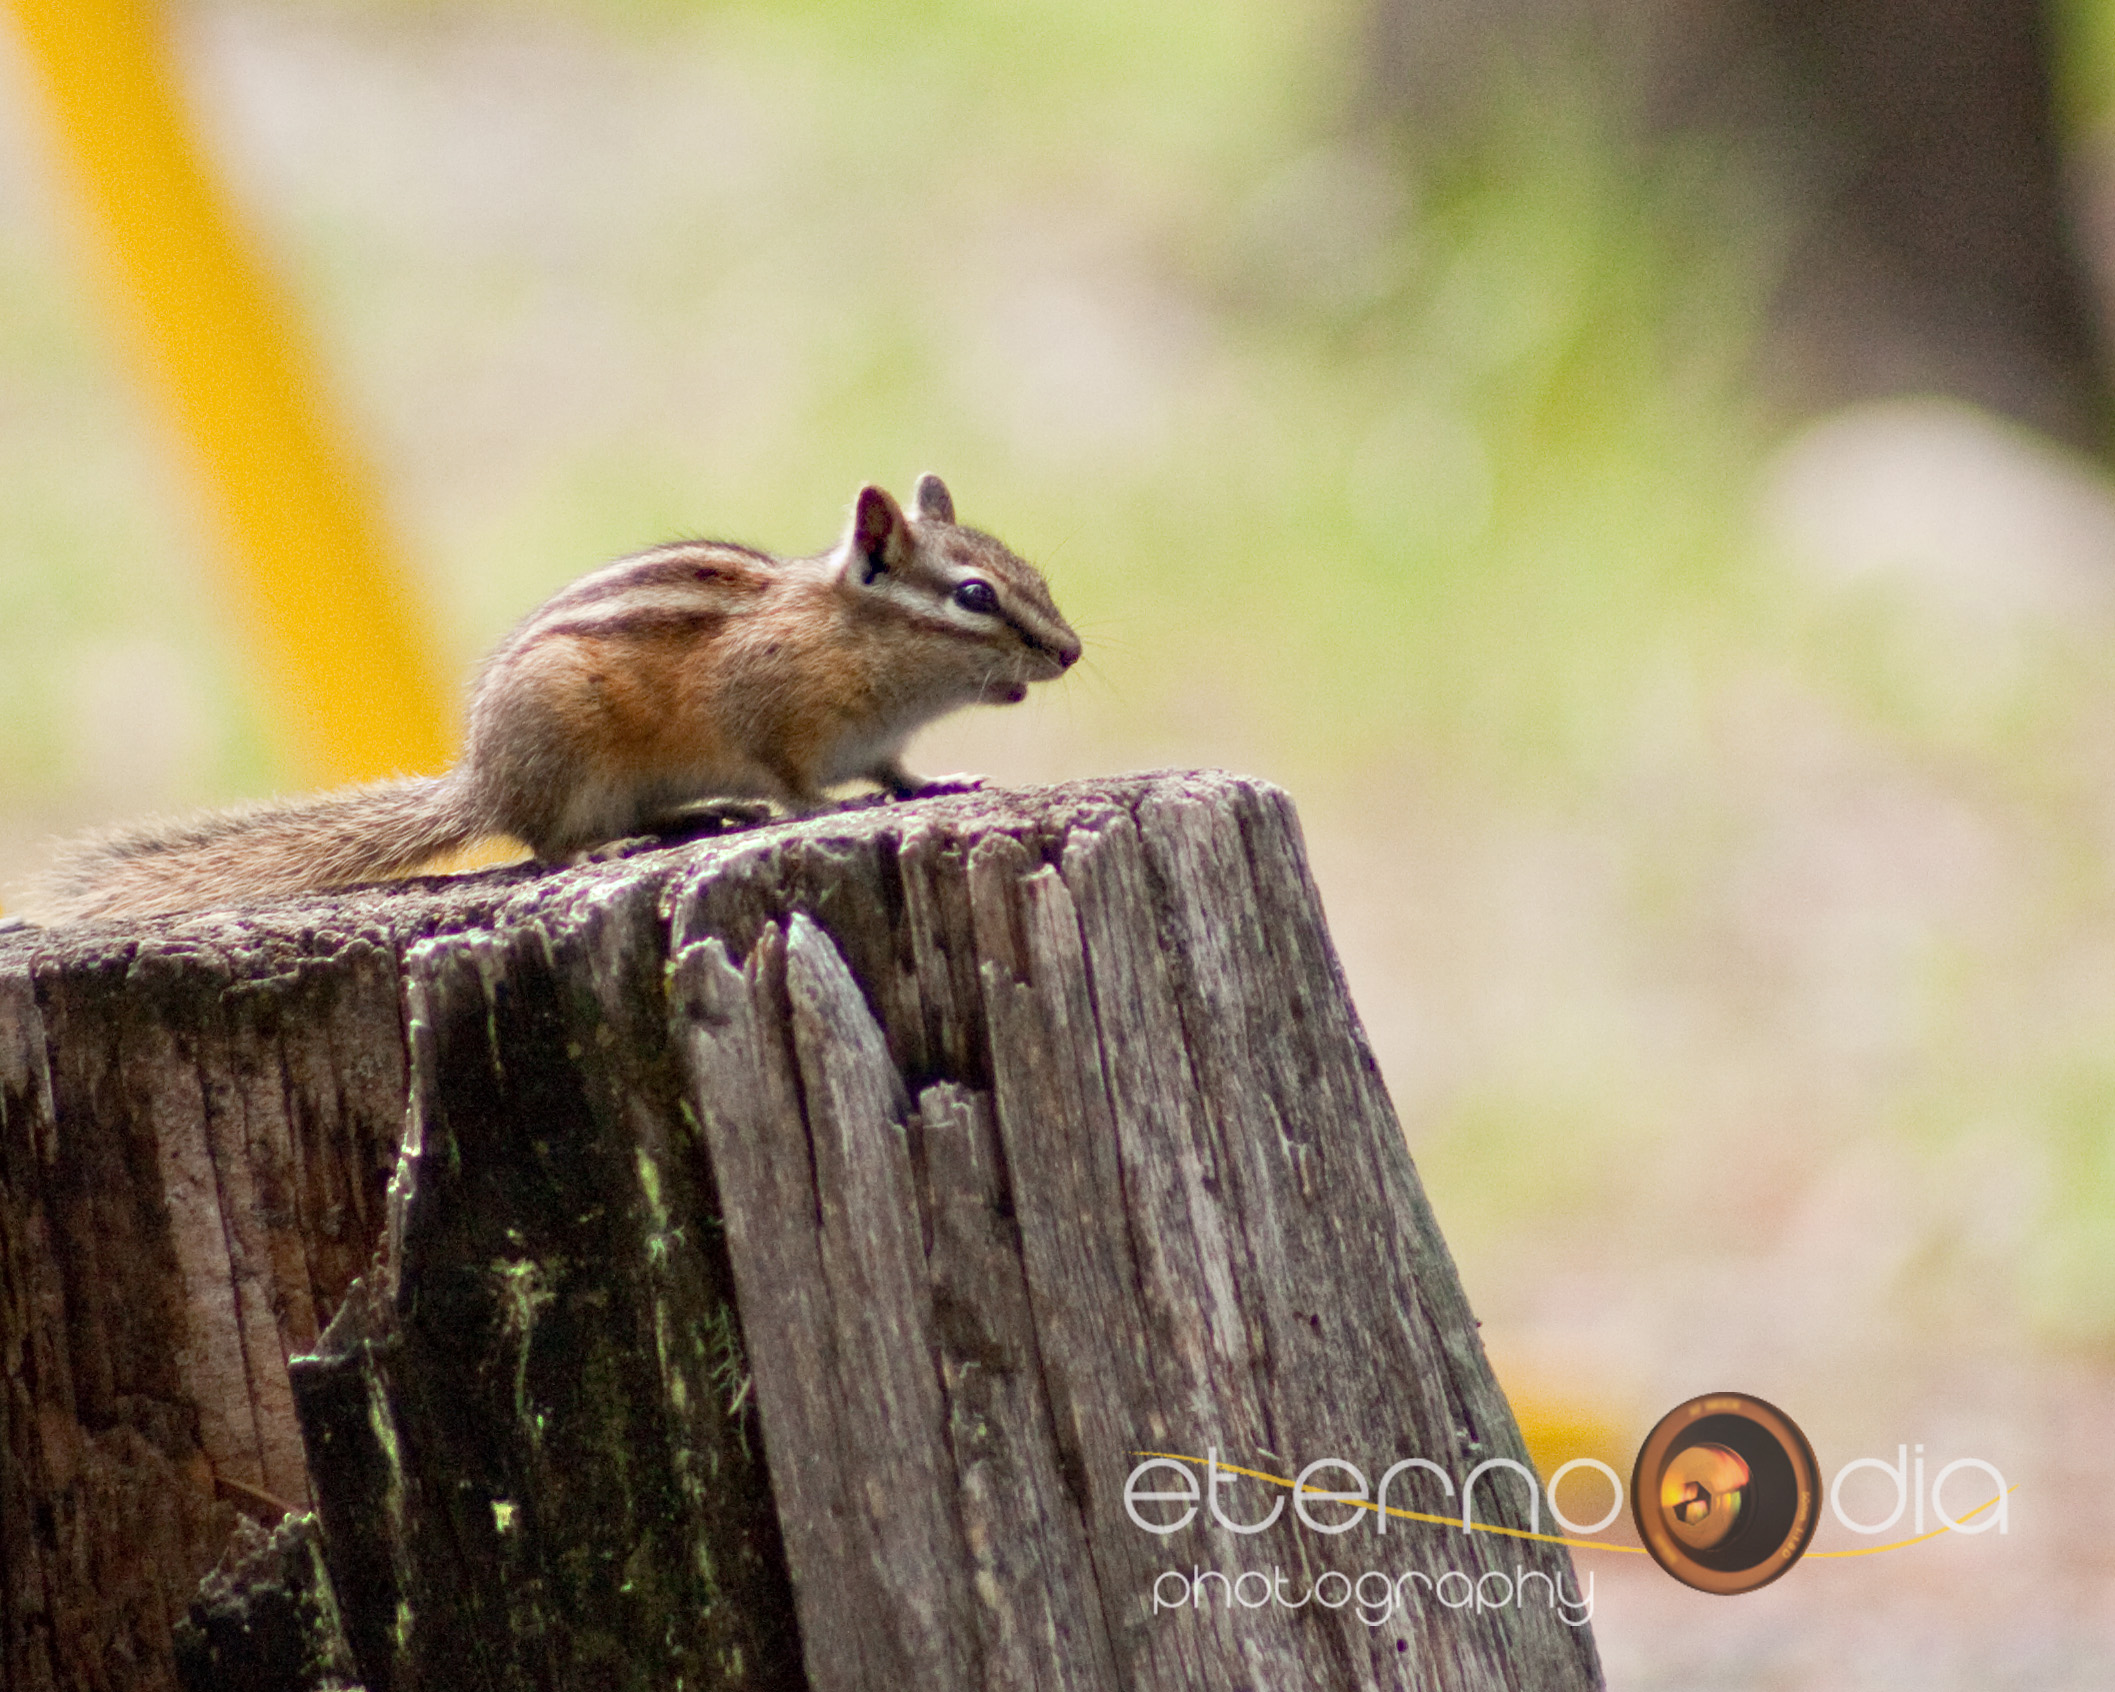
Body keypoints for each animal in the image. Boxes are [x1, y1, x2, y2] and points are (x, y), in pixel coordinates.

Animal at [21, 474, 1080, 925]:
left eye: (1030, 574)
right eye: (973, 596)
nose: (1068, 652)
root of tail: (483, 782)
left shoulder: (880, 740)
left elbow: (897, 773)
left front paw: (934, 786)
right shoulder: (769, 713)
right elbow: (793, 780)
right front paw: (821, 807)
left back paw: (692, 814)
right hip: (565, 749)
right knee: (544, 843)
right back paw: (607, 847)